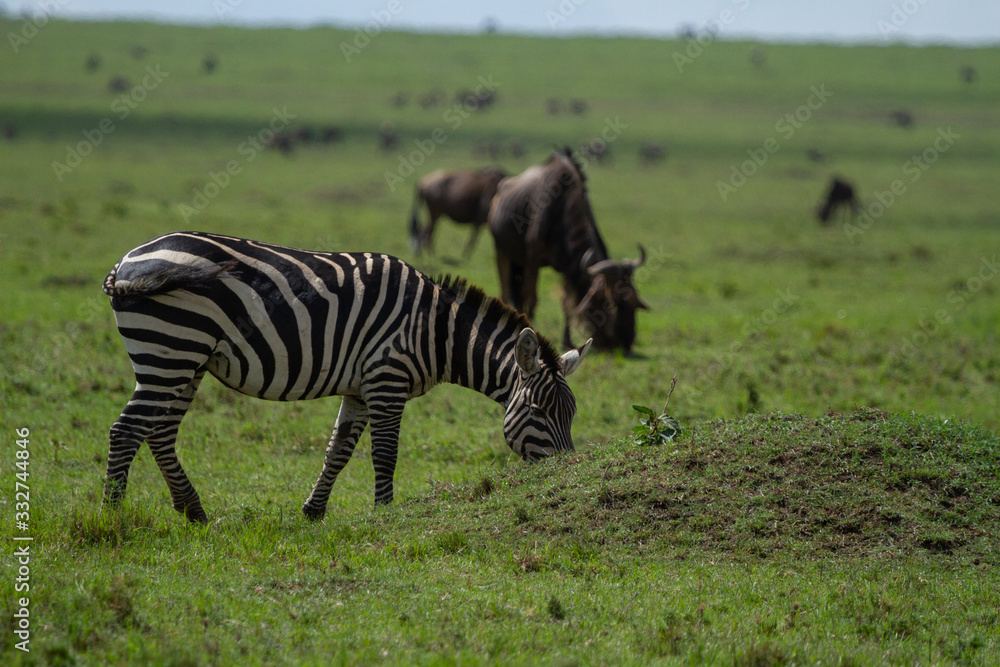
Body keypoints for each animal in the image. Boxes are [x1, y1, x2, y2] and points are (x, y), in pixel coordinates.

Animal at [102, 231, 592, 524]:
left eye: (571, 415)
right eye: (537, 410)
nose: (569, 472)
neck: (434, 330)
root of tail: (125, 261)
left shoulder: (360, 388)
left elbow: (338, 451)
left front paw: (313, 511)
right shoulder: (387, 379)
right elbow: (385, 453)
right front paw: (386, 515)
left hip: (186, 361)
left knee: (159, 431)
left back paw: (193, 510)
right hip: (170, 349)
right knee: (126, 430)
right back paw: (112, 516)